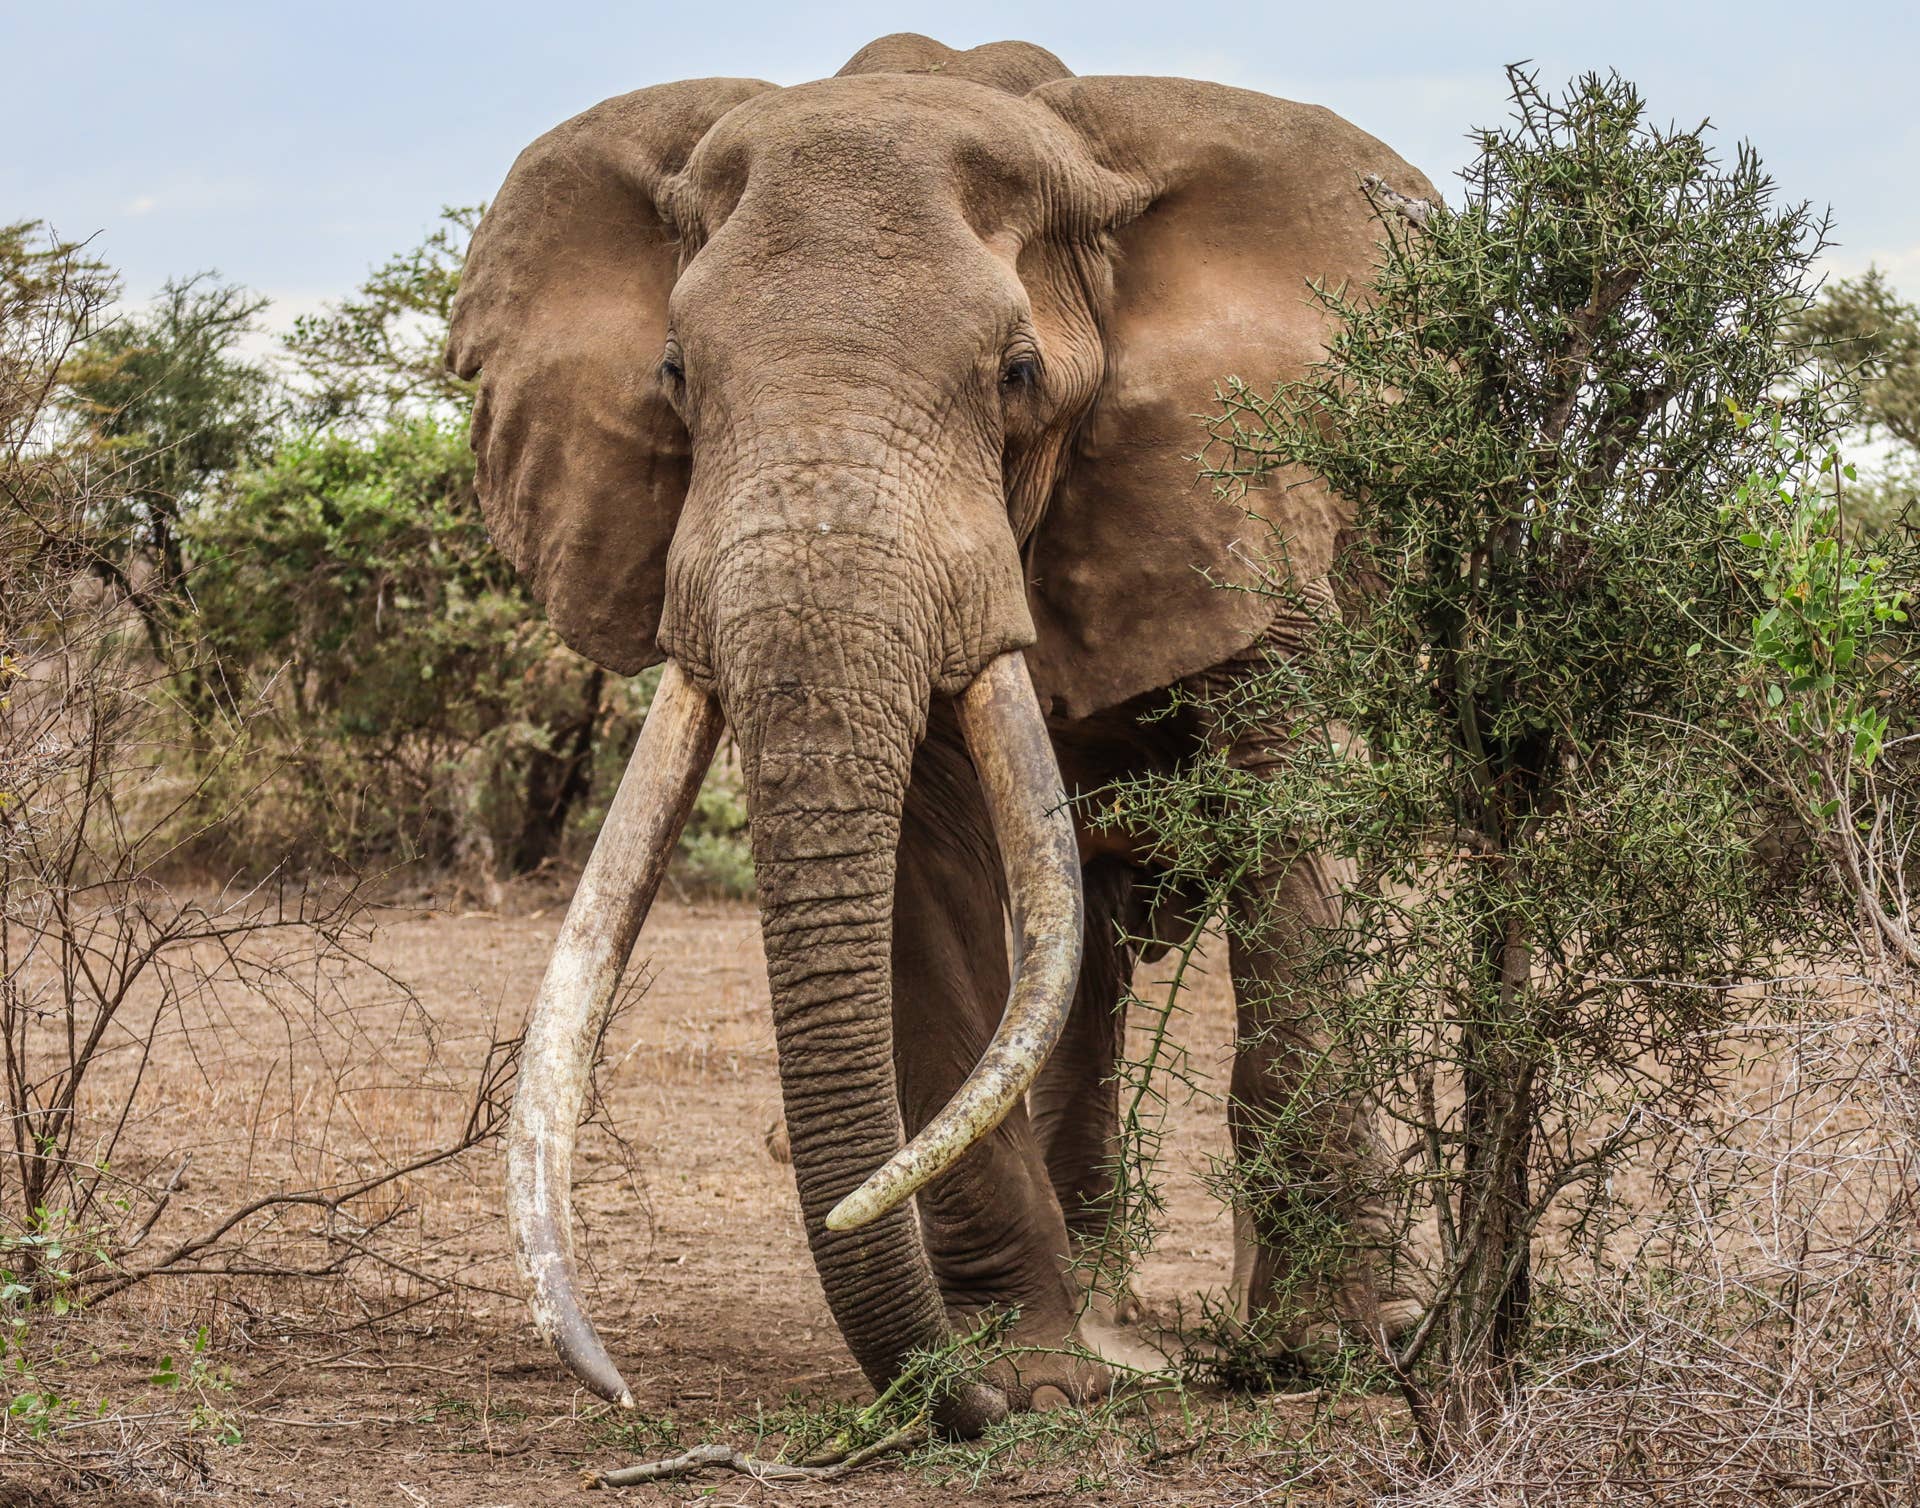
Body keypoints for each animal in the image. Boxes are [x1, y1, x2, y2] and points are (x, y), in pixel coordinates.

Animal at [449, 32, 1436, 1433]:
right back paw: (1111, 1324)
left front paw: (1332, 1352)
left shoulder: (1254, 495)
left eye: (1017, 376)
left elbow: (1291, 838)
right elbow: (929, 865)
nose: (952, 1396)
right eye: (676, 375)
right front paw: (1028, 1379)